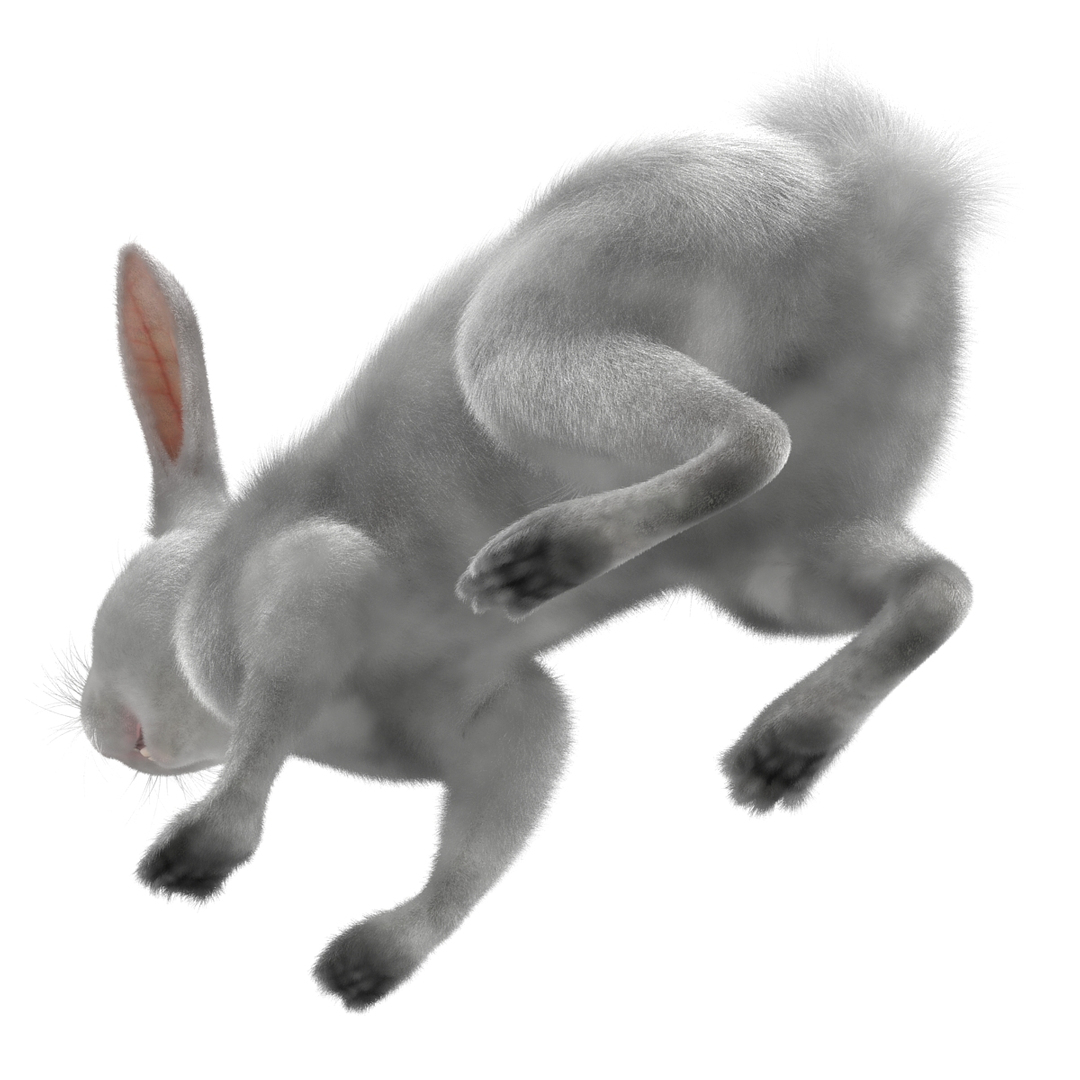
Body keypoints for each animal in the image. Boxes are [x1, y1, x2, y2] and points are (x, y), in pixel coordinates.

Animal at [78, 70, 987, 1010]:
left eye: (115, 616)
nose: (103, 733)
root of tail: (873, 186)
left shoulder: (299, 582)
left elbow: (299, 660)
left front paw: (201, 851)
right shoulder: (488, 711)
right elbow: (509, 793)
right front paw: (371, 964)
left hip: (581, 292)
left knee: (747, 435)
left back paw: (549, 557)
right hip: (773, 554)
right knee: (933, 584)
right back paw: (786, 747)